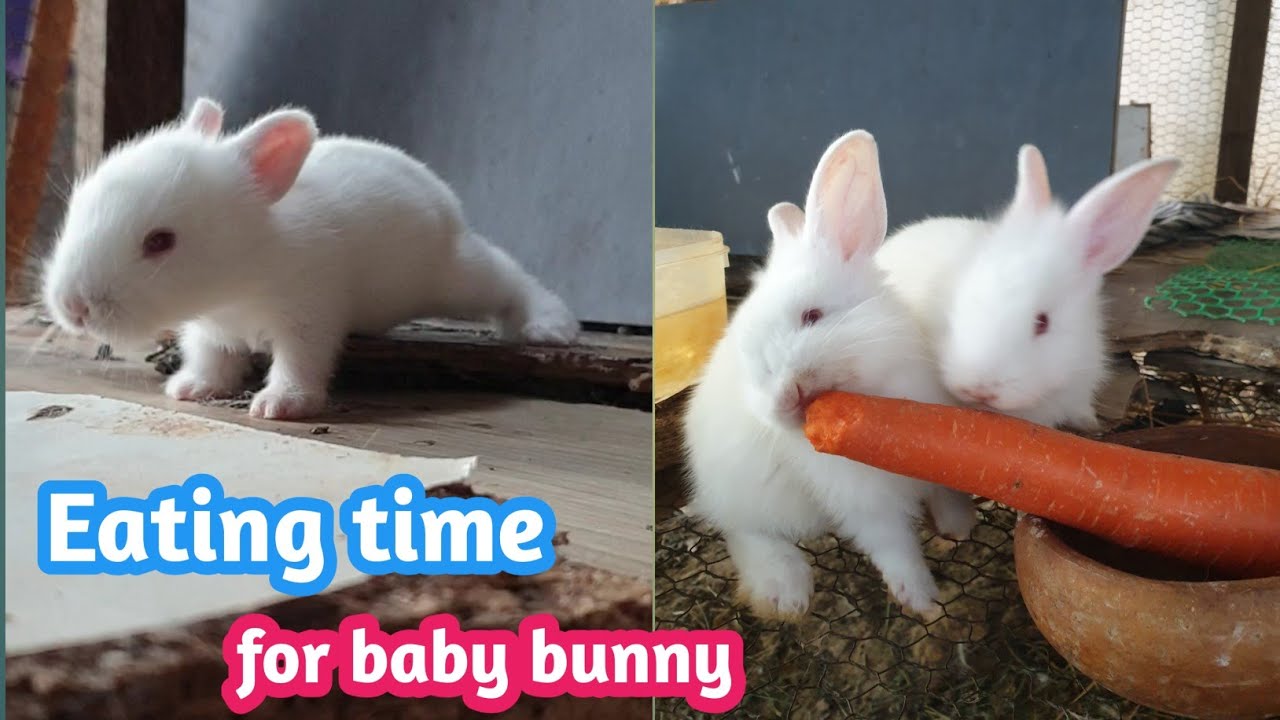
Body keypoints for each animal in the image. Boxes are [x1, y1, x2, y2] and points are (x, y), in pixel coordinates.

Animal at [41, 97, 579, 420]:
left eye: (159, 241)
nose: (73, 308)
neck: (238, 282)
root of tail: (445, 202)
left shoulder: (309, 313)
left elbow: (302, 361)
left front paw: (280, 405)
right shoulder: (210, 327)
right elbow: (212, 358)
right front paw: (191, 388)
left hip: (453, 275)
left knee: (511, 280)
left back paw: (550, 327)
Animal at [682, 130, 976, 620]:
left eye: (812, 316)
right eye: (754, 362)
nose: (784, 397)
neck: (879, 398)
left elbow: (946, 493)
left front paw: (959, 525)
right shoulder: (861, 498)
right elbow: (891, 545)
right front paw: (920, 597)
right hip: (753, 497)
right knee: (743, 530)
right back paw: (786, 590)